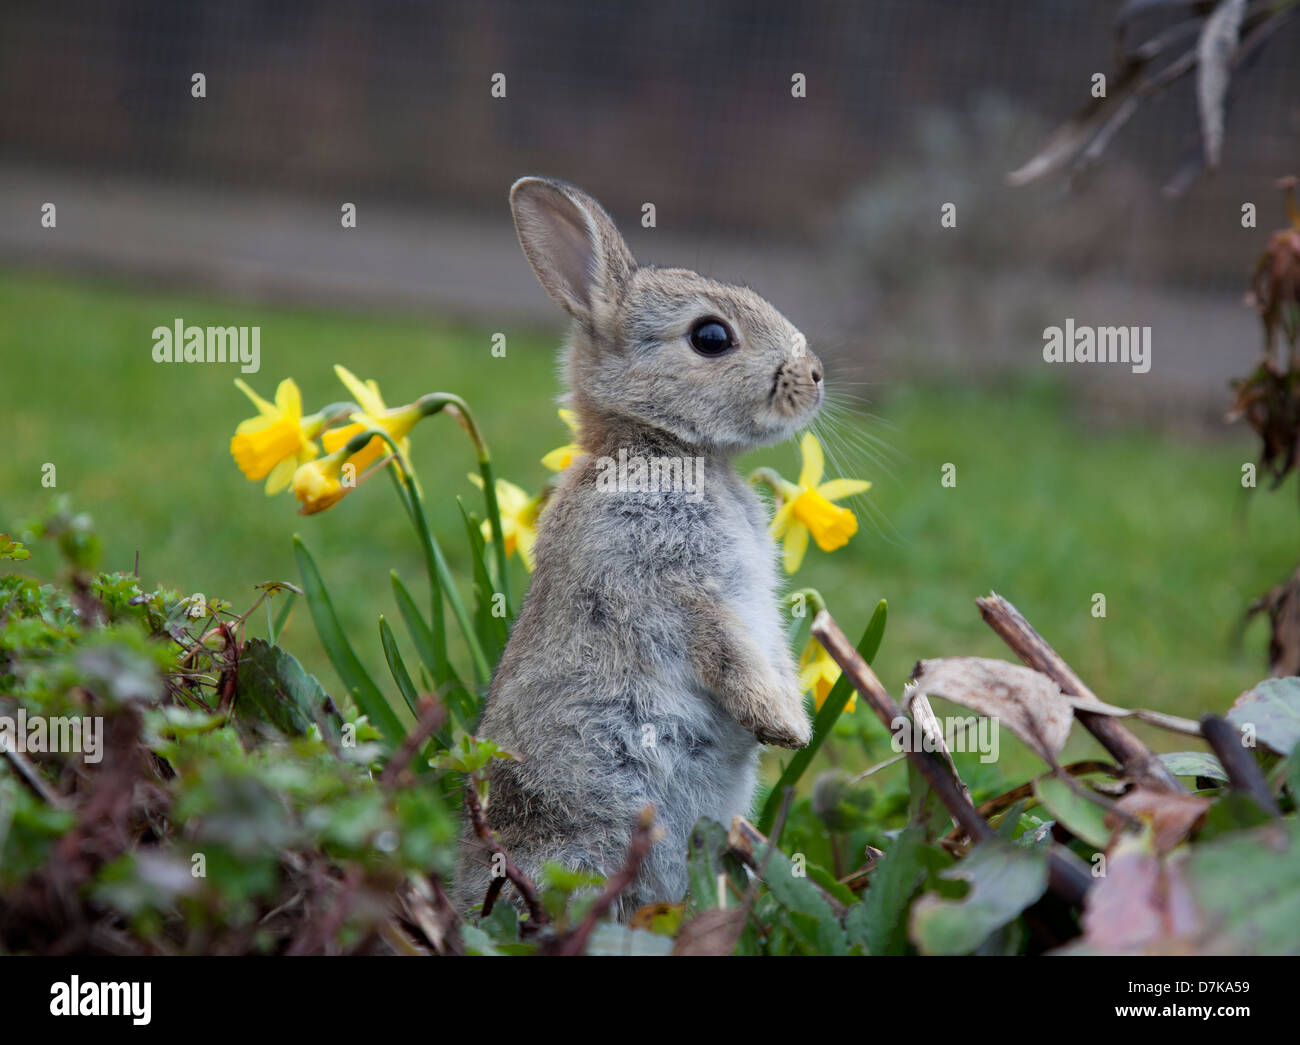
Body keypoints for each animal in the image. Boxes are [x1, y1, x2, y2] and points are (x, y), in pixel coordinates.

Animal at [455, 176, 824, 919]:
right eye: (711, 337)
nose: (816, 374)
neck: (668, 449)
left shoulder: (756, 604)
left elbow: (774, 650)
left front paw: (795, 721)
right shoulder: (674, 590)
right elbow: (729, 653)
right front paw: (785, 728)